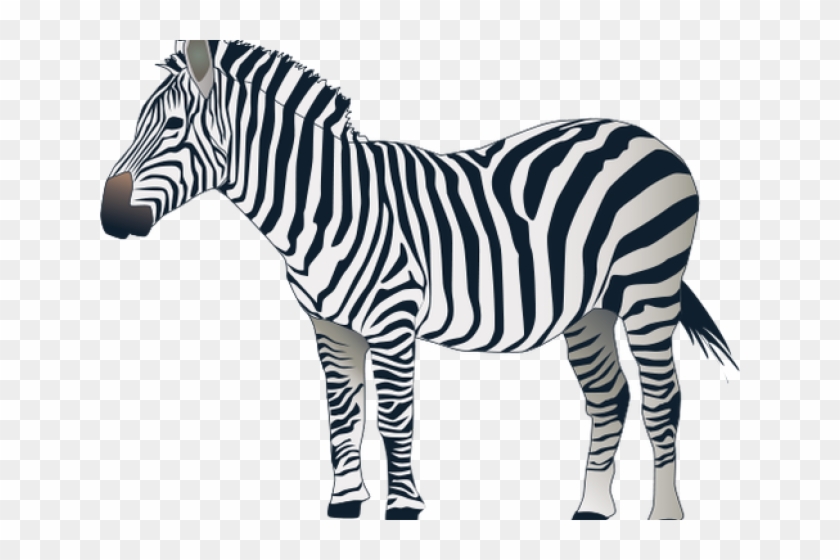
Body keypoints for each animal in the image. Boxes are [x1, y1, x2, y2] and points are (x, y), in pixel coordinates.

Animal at [101, 40, 738, 521]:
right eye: (136, 124)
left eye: (174, 126)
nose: (109, 217)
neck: (326, 206)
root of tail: (648, 138)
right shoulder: (331, 328)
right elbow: (343, 416)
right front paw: (345, 502)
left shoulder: (393, 320)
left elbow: (392, 416)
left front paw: (402, 506)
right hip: (590, 309)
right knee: (610, 396)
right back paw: (593, 509)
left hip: (650, 290)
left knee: (661, 398)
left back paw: (664, 514)